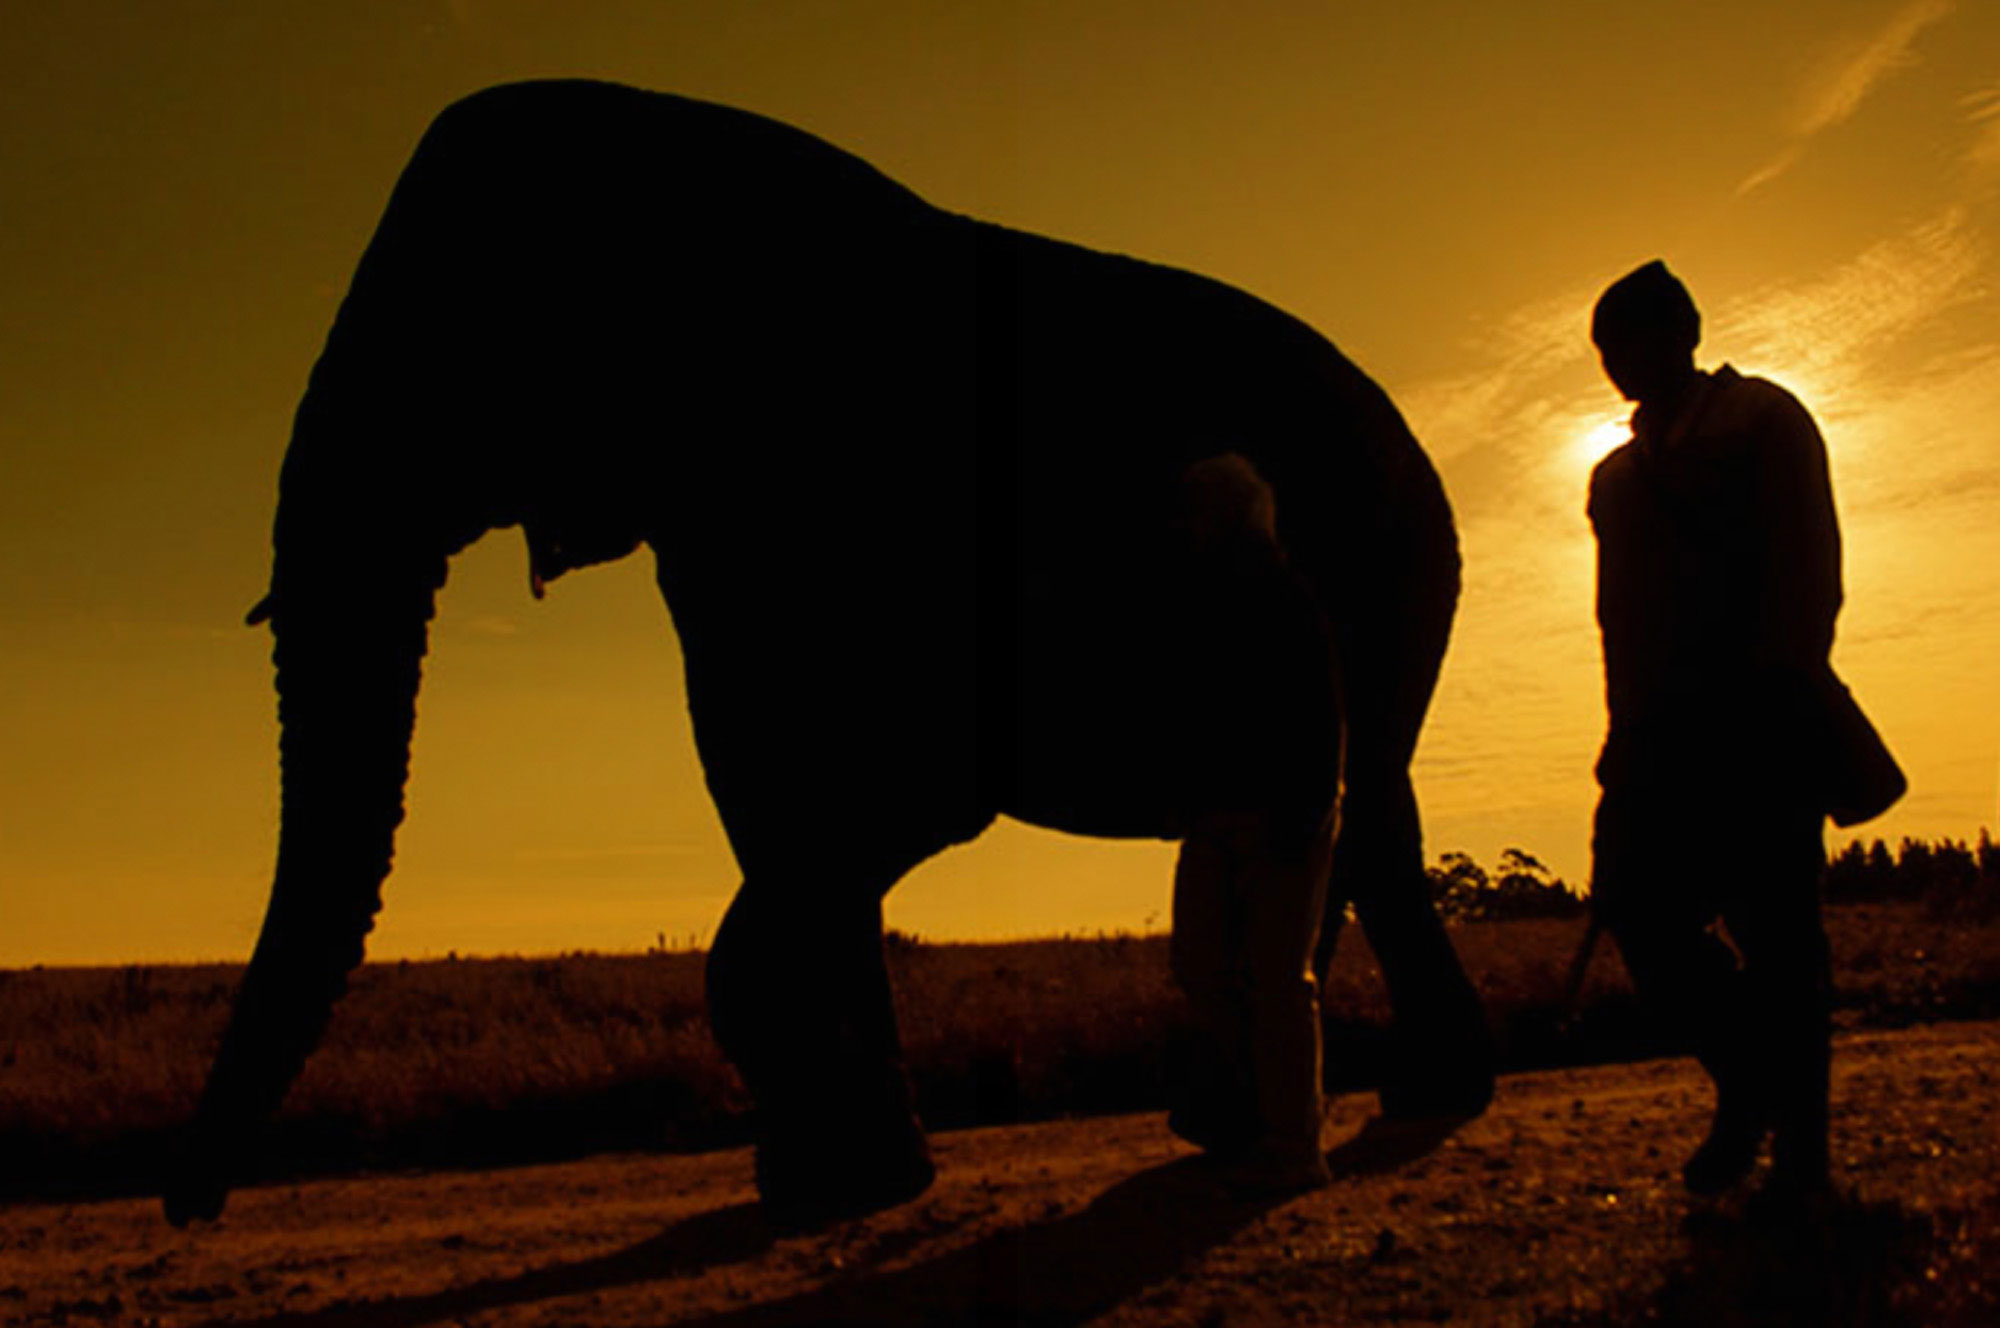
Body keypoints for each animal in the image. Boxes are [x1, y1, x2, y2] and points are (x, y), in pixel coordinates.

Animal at [164, 80, 1492, 1227]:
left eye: (467, 337)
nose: (189, 1201)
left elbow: (874, 804)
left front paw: (840, 1179)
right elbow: (767, 788)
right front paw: (839, 1179)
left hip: (1381, 560)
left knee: (1347, 798)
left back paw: (1263, 1120)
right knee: (1374, 808)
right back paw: (1368, 1101)